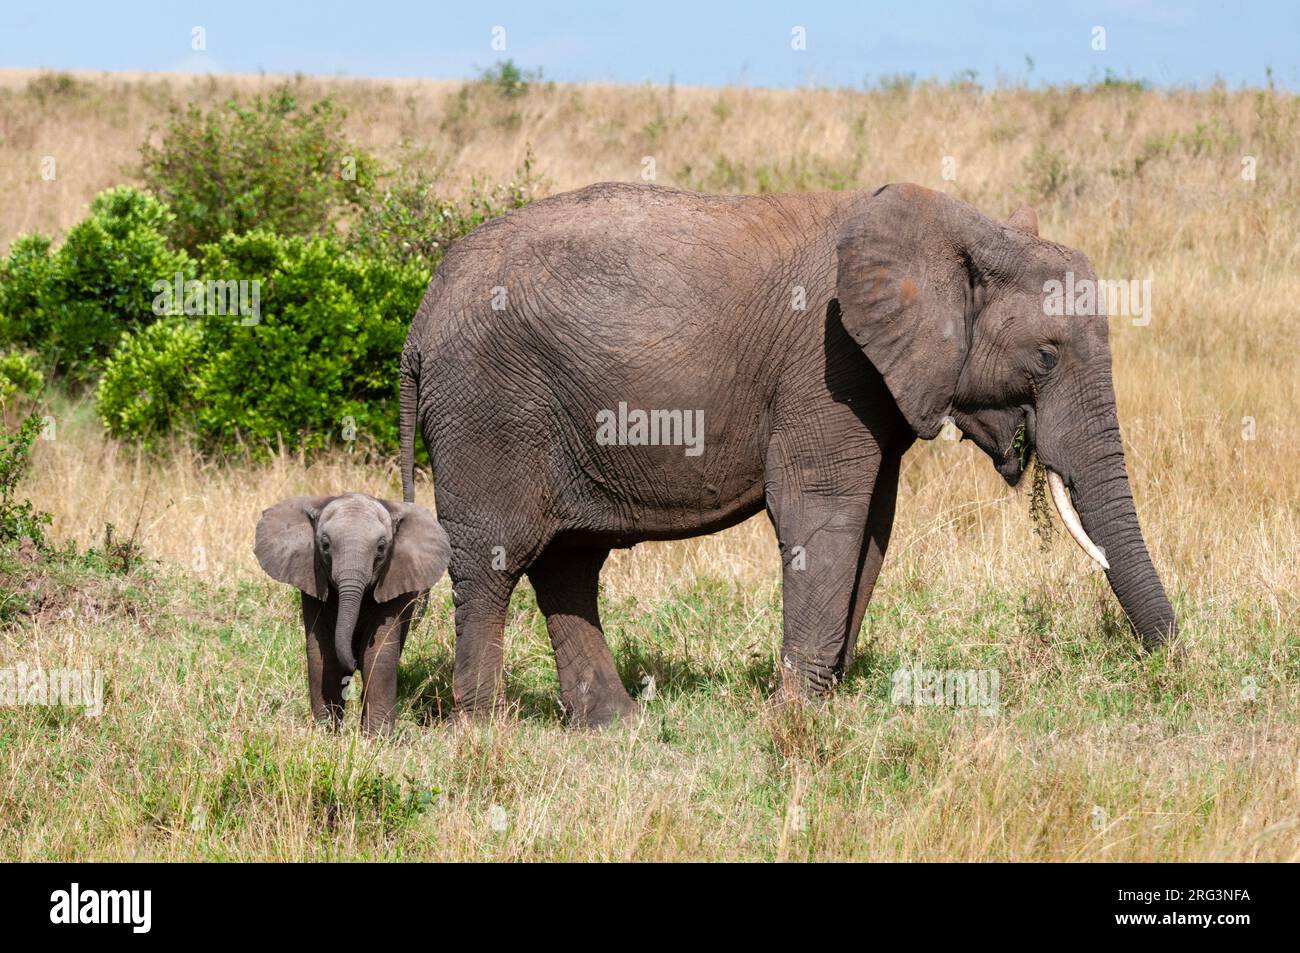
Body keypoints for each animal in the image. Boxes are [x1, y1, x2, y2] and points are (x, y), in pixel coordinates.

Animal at [254, 493, 450, 733]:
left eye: (381, 548)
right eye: (325, 545)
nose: (354, 659)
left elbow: (379, 654)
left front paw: (377, 738)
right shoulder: (313, 578)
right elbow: (324, 653)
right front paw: (325, 734)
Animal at [397, 181, 1177, 727]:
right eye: (1045, 357)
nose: (1171, 665)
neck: (961, 228)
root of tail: (420, 316)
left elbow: (871, 531)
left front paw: (819, 704)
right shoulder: (828, 366)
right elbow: (821, 517)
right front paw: (793, 717)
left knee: (567, 564)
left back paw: (617, 726)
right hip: (489, 407)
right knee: (496, 560)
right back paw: (487, 731)